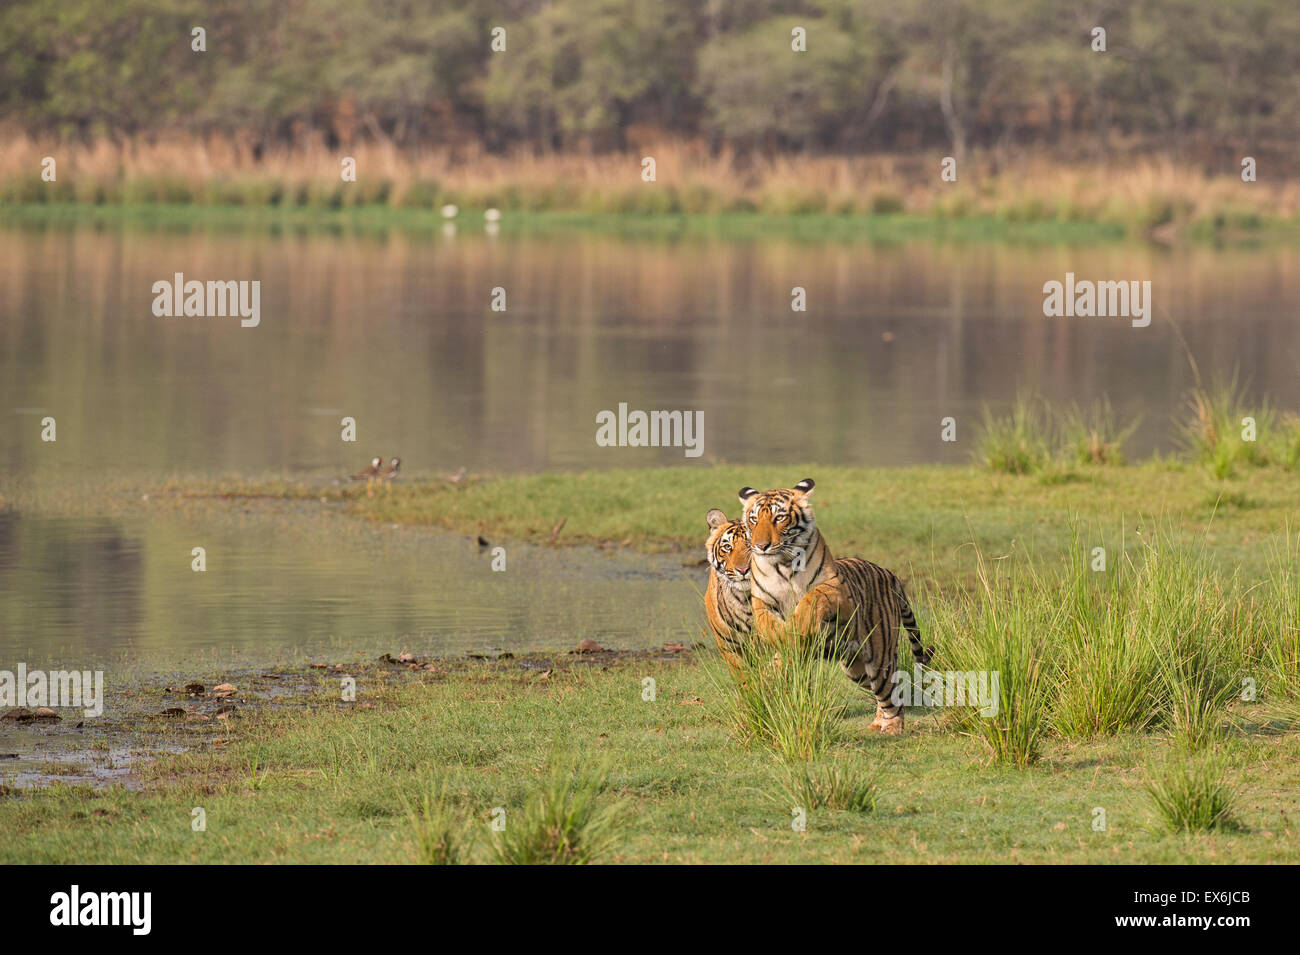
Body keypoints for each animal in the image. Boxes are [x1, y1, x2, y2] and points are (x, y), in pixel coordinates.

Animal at [739, 478, 931, 735]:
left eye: (779, 518)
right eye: (754, 519)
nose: (761, 546)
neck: (783, 564)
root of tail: (889, 573)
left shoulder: (836, 587)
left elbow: (812, 598)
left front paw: (798, 629)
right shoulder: (761, 600)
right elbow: (765, 621)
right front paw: (781, 641)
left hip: (879, 658)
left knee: (893, 694)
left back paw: (892, 728)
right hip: (856, 669)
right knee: (881, 693)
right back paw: (877, 722)